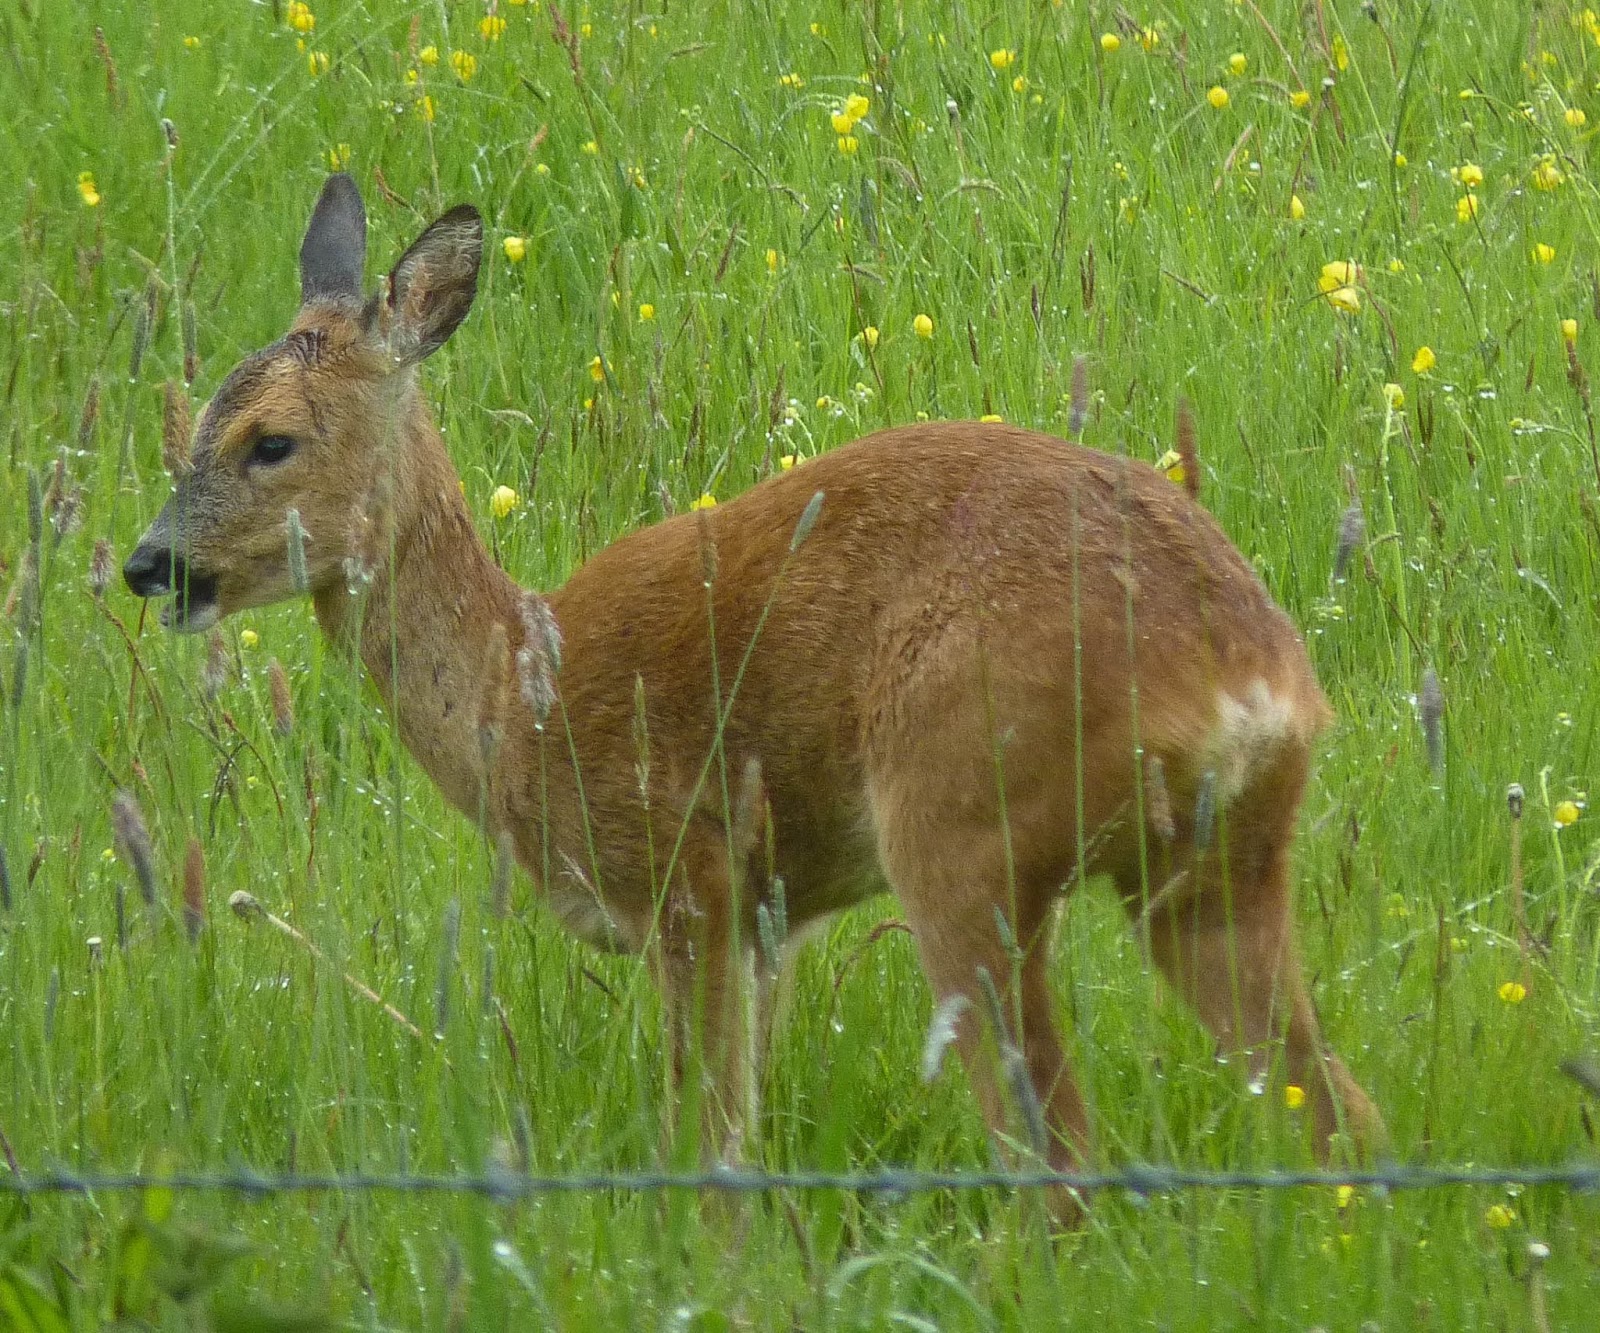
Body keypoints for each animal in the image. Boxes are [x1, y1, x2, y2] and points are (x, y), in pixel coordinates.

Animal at [123, 174, 1383, 1219]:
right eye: (196, 423)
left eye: (270, 441)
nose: (148, 565)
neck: (516, 694)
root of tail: (1242, 675)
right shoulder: (770, 918)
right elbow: (743, 1133)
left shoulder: (690, 877)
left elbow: (705, 1143)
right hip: (1219, 863)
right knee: (1335, 1109)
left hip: (960, 825)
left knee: (1058, 1151)